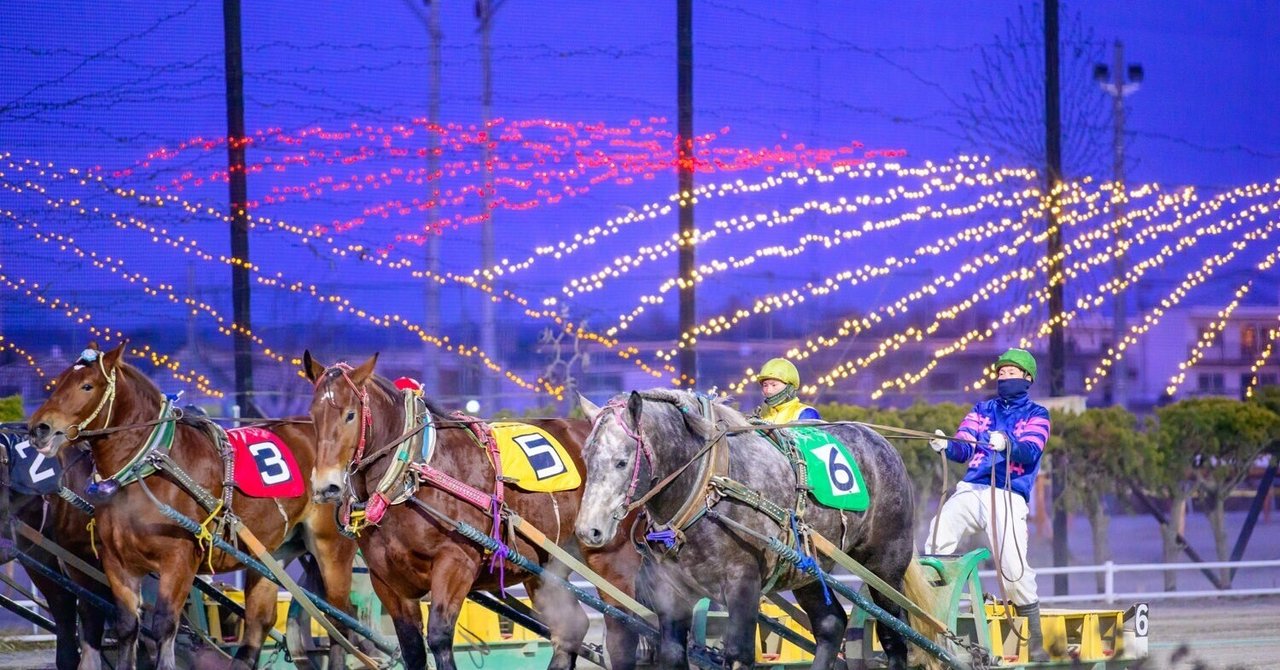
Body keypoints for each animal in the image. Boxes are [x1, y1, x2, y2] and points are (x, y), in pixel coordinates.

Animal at [26, 343, 359, 670]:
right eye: (59, 381)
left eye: (86, 385)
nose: (39, 427)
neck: (149, 468)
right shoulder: (118, 563)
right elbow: (127, 627)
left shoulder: (178, 559)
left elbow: (163, 626)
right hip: (271, 552)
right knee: (259, 620)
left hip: (331, 546)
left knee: (340, 621)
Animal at [302, 351, 644, 670]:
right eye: (313, 415)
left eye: (350, 415)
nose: (326, 486)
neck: (412, 475)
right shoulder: (387, 580)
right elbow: (412, 649)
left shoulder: (456, 561)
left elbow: (439, 636)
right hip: (546, 566)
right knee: (572, 628)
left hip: (610, 556)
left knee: (623, 630)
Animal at [574, 390, 941, 670]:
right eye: (586, 457)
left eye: (622, 461)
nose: (588, 530)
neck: (708, 484)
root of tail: (882, 443)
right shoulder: (671, 591)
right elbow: (673, 655)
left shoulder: (743, 584)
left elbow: (738, 654)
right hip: (806, 567)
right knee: (831, 624)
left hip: (884, 567)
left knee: (895, 636)